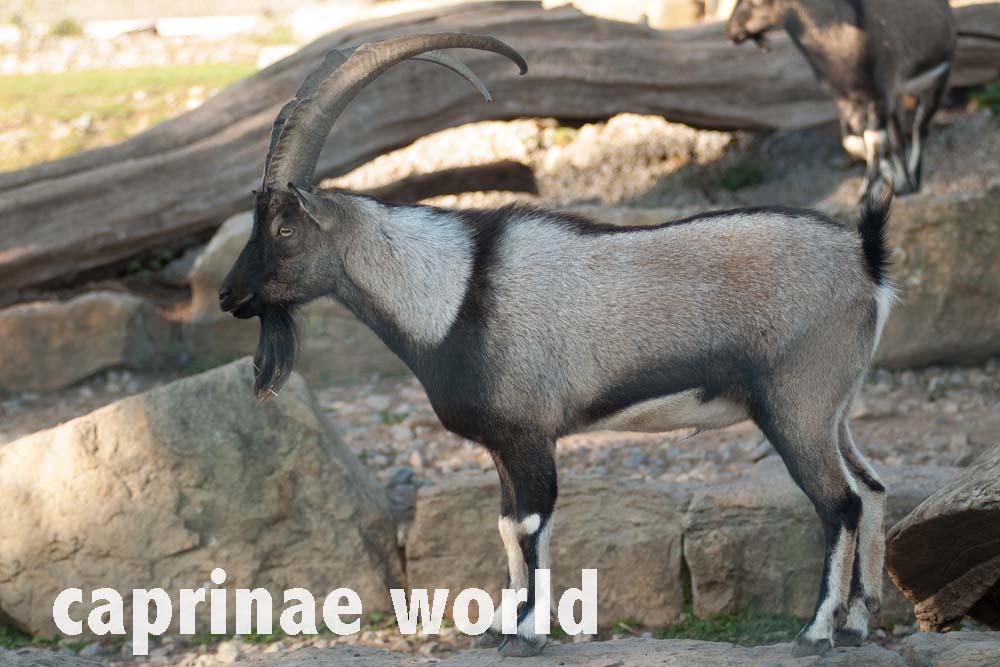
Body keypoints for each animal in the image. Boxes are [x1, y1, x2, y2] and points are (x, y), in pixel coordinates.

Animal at [219, 33, 895, 658]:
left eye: (283, 226)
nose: (228, 296)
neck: (452, 289)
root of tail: (865, 258)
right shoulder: (500, 443)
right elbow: (503, 525)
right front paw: (500, 626)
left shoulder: (528, 433)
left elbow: (529, 523)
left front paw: (526, 632)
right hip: (834, 410)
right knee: (871, 489)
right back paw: (857, 623)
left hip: (795, 404)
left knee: (839, 504)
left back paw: (816, 631)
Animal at [726, 0, 956, 198]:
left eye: (756, 1)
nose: (731, 31)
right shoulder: (847, 101)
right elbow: (852, 141)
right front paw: (886, 180)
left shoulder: (880, 95)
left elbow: (874, 139)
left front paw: (866, 191)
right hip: (897, 98)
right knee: (899, 138)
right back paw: (903, 183)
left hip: (938, 79)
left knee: (920, 127)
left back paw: (914, 180)